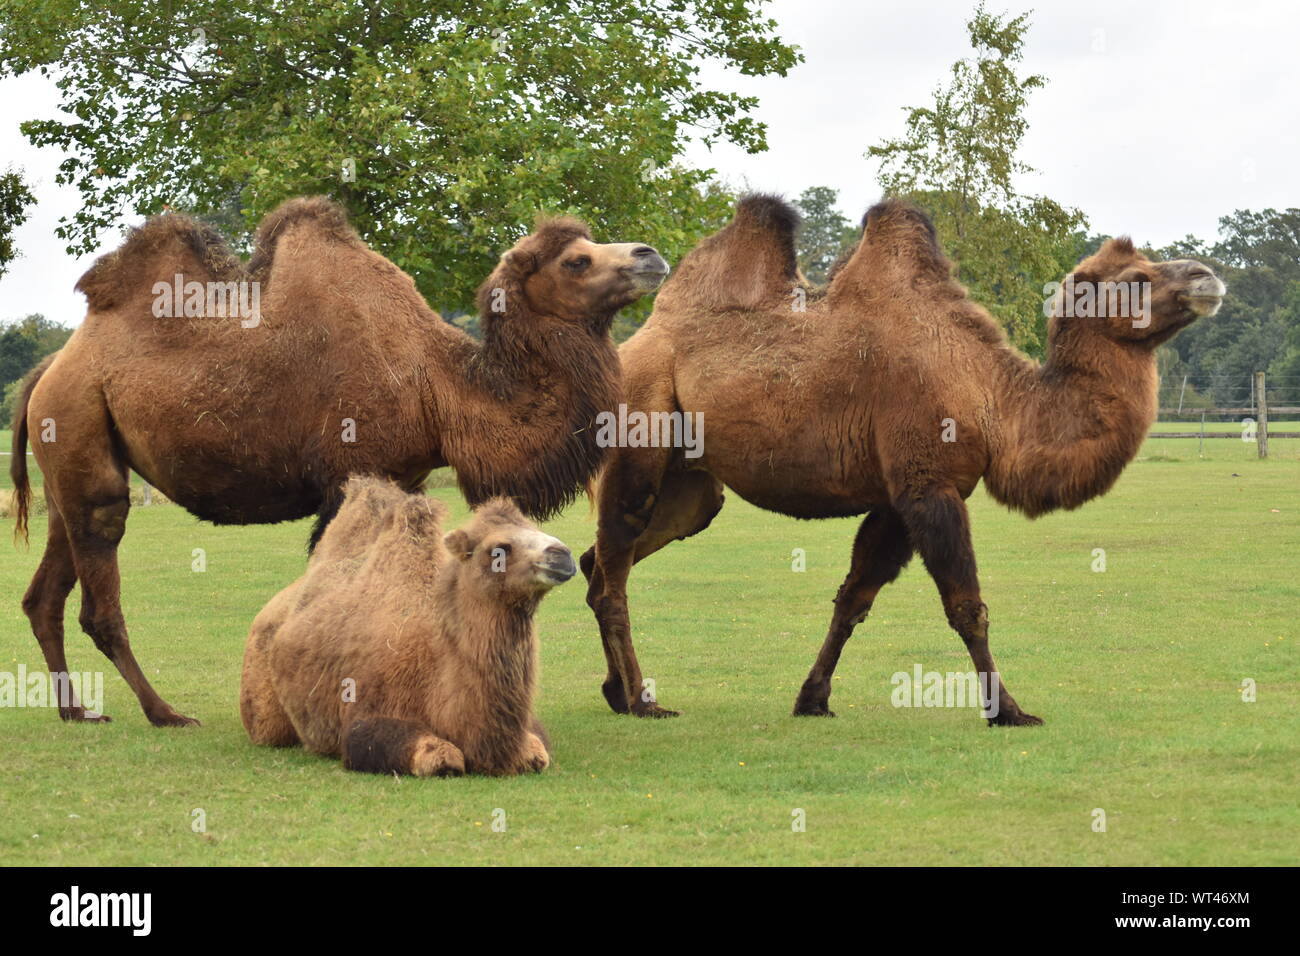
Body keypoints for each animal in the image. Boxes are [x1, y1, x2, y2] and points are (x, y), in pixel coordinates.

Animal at [10, 196, 667, 727]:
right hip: (81, 426)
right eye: (575, 261)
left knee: (45, 593)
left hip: (70, 459)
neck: (437, 387)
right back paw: (164, 713)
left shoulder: (405, 477)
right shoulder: (349, 474)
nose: (651, 254)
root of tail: (48, 371)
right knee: (99, 589)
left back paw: (77, 711)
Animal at [241, 477, 574, 776]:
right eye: (499, 549)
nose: (563, 556)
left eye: (537, 529)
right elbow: (440, 758)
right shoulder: (369, 712)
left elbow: (538, 752)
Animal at [582, 195, 1225, 725]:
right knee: (615, 575)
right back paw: (643, 702)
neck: (991, 394)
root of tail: (629, 348)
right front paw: (1008, 711)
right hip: (639, 435)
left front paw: (813, 699)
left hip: (692, 489)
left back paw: (616, 691)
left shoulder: (897, 497)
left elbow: (853, 599)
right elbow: (967, 606)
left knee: (601, 563)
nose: (1206, 275)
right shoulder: (928, 483)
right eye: (1137, 278)